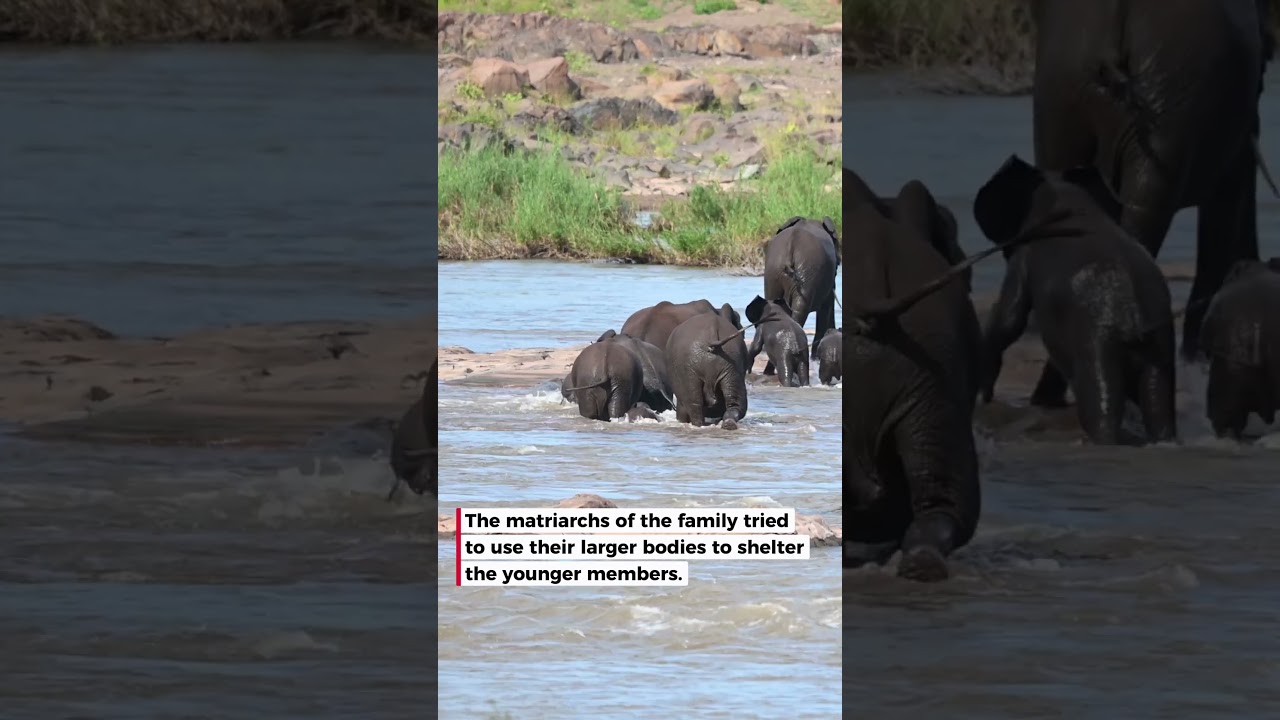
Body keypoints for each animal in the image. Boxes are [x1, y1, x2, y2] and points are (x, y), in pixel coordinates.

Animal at [762, 216, 839, 364]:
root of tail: (791, 248)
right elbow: (826, 307)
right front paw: (816, 358)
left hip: (774, 272)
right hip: (807, 274)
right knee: (800, 312)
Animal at [973, 154, 1178, 446]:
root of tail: (1133, 318)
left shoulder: (1024, 256)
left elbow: (1008, 319)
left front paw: (982, 398)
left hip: (1097, 346)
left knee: (1100, 408)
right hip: (1159, 349)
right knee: (1158, 404)